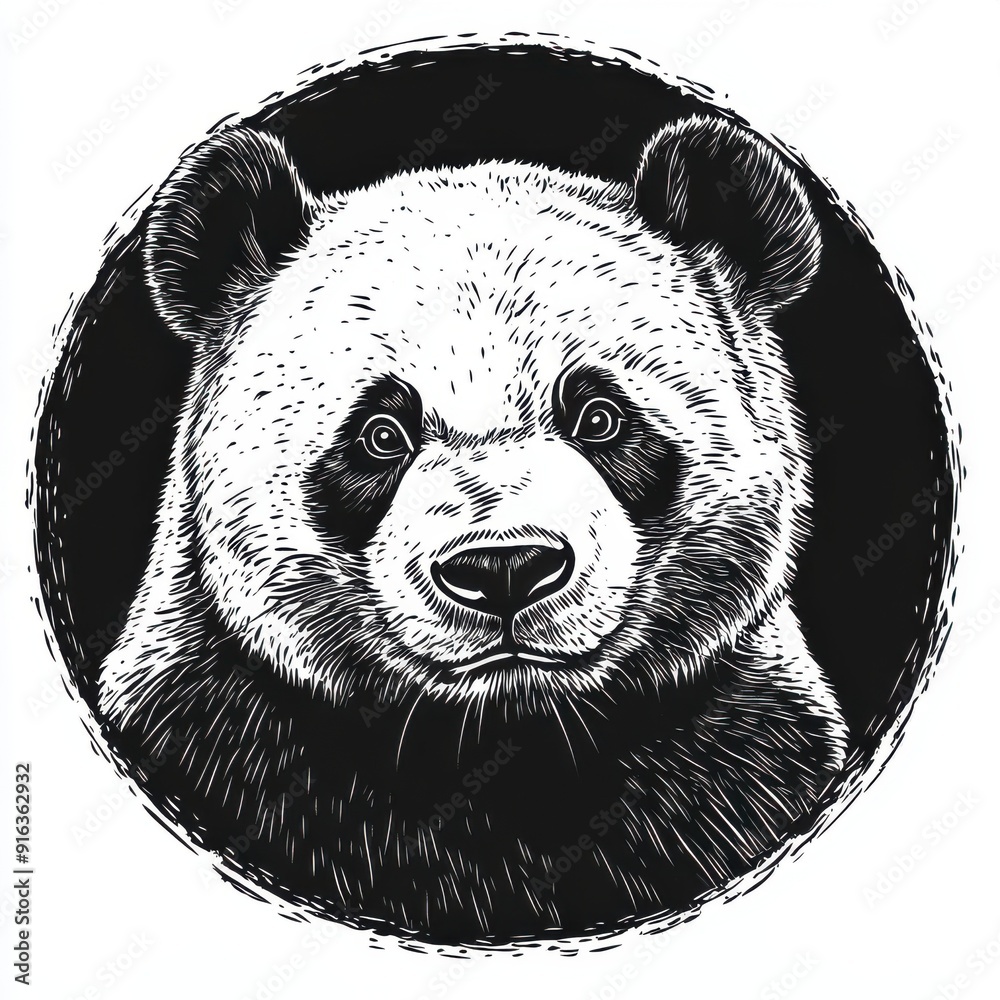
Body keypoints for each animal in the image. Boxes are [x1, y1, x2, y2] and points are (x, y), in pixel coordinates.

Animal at [96, 113, 848, 944]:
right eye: (381, 434)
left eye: (600, 417)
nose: (504, 569)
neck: (499, 740)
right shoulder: (219, 734)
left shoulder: (742, 752)